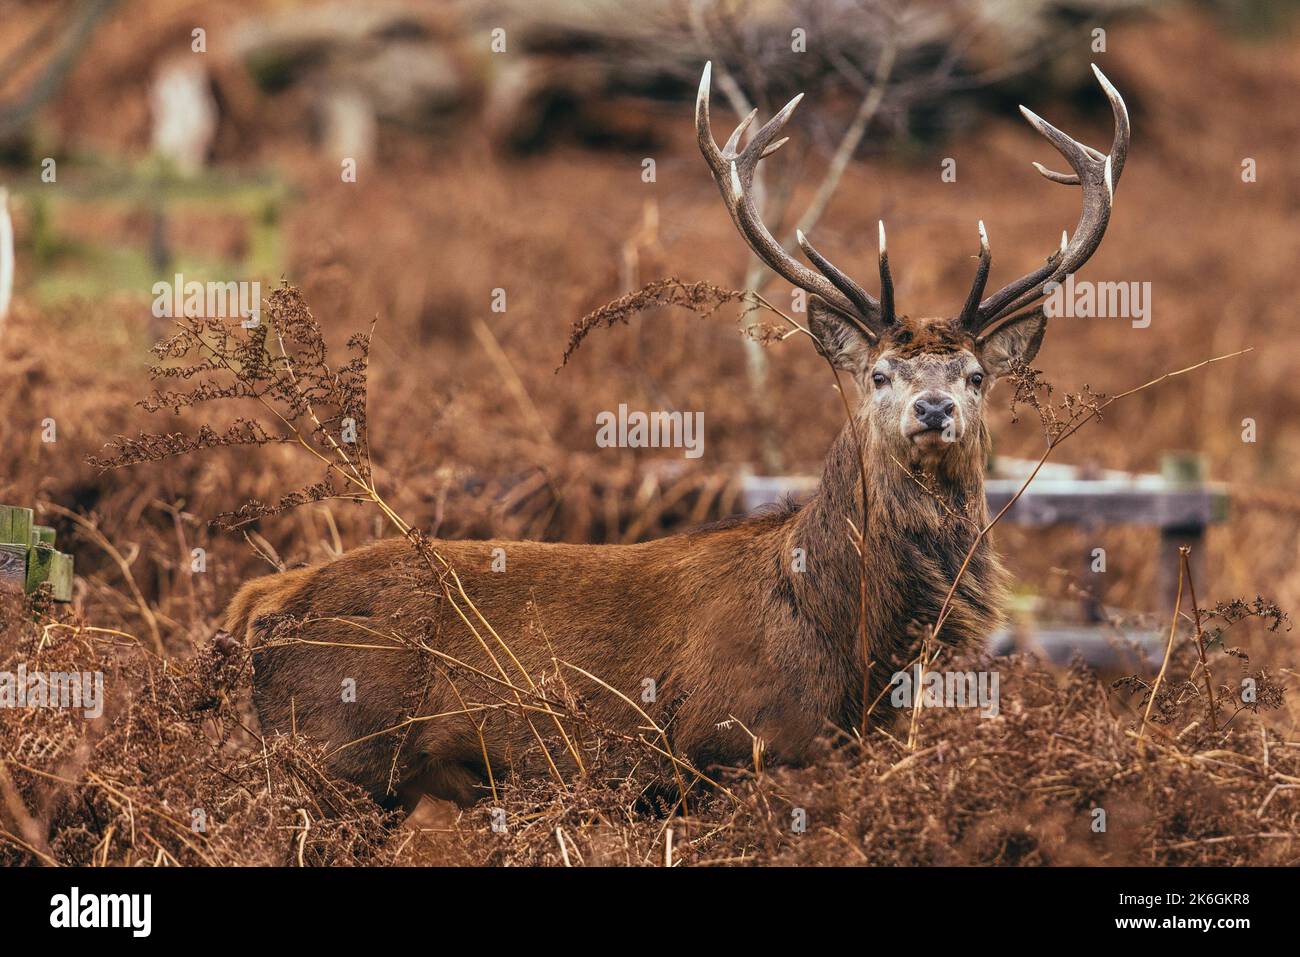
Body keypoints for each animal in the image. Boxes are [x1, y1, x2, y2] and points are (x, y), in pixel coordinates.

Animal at [225, 63, 1130, 810]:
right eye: (879, 373)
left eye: (975, 375)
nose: (934, 409)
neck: (856, 642)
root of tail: (256, 607)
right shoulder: (733, 746)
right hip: (343, 751)